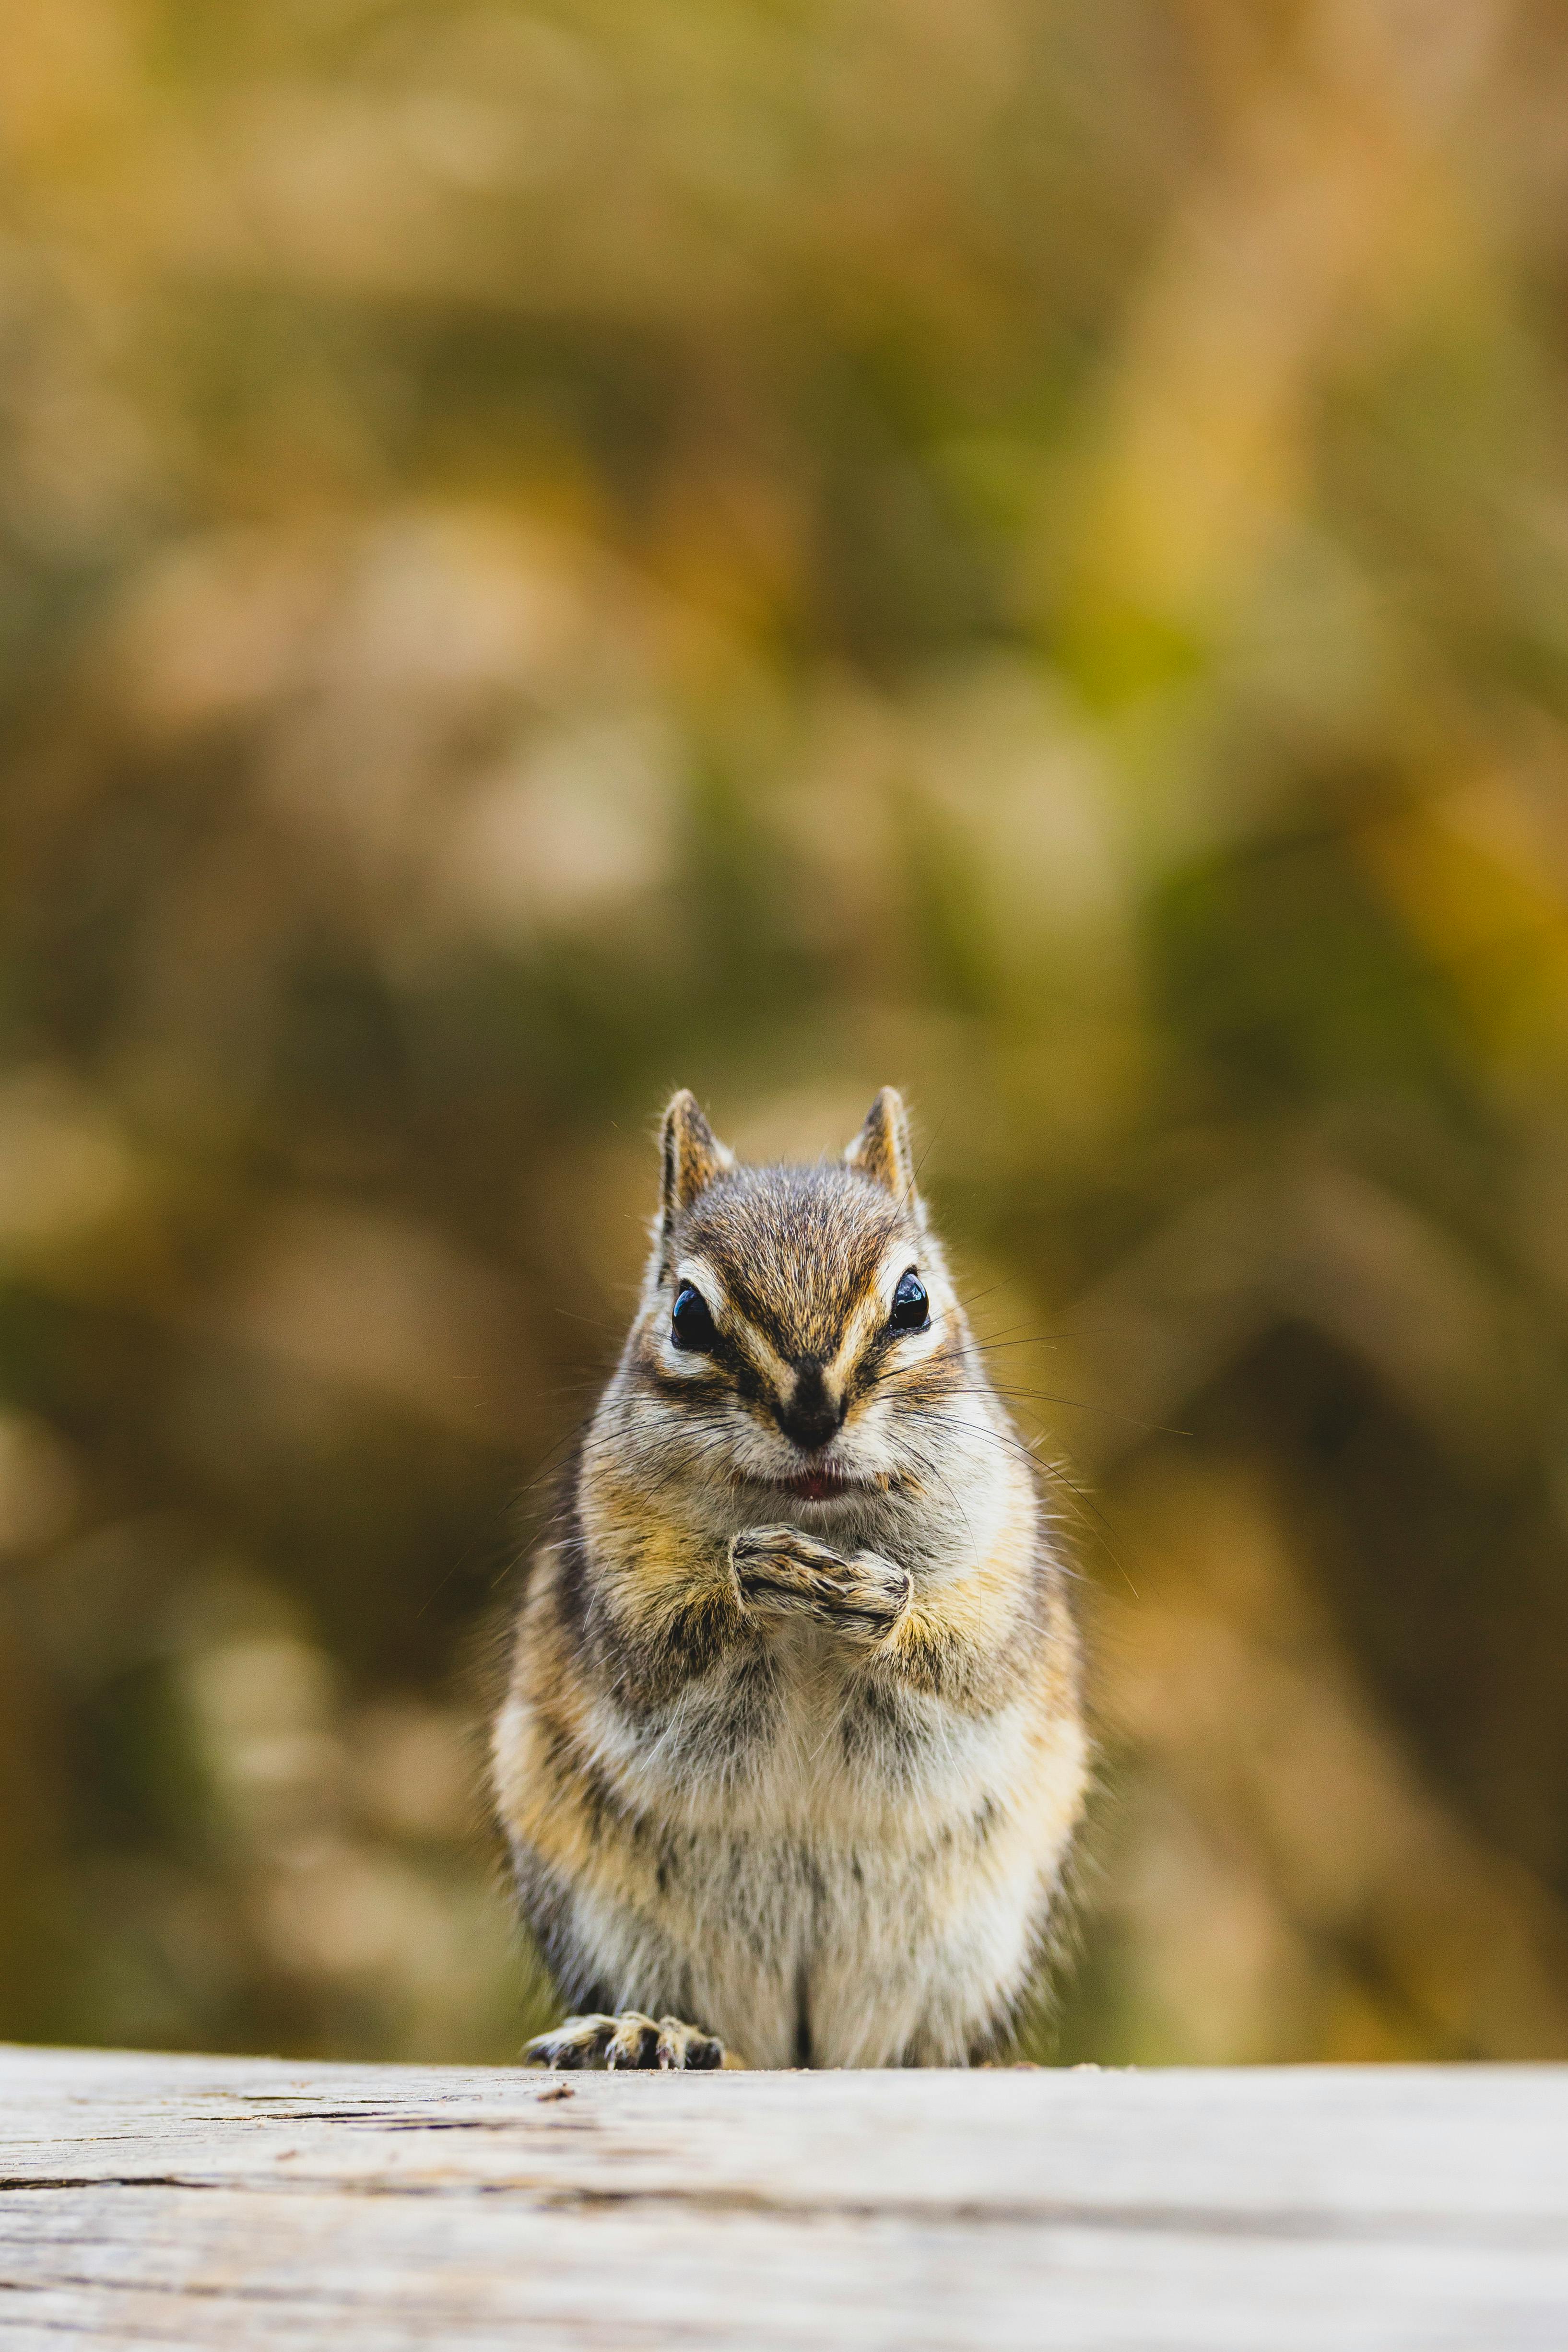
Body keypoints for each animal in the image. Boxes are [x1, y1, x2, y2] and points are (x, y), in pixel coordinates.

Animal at [491, 1087, 1086, 2068]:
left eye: (914, 1298)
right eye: (686, 1313)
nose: (813, 1412)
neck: (817, 1516)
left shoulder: (998, 1561)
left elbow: (969, 1654)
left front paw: (878, 1600)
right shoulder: (613, 1577)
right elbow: (648, 1654)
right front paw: (752, 1575)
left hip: (960, 1949)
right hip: (611, 1917)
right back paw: (653, 2030)